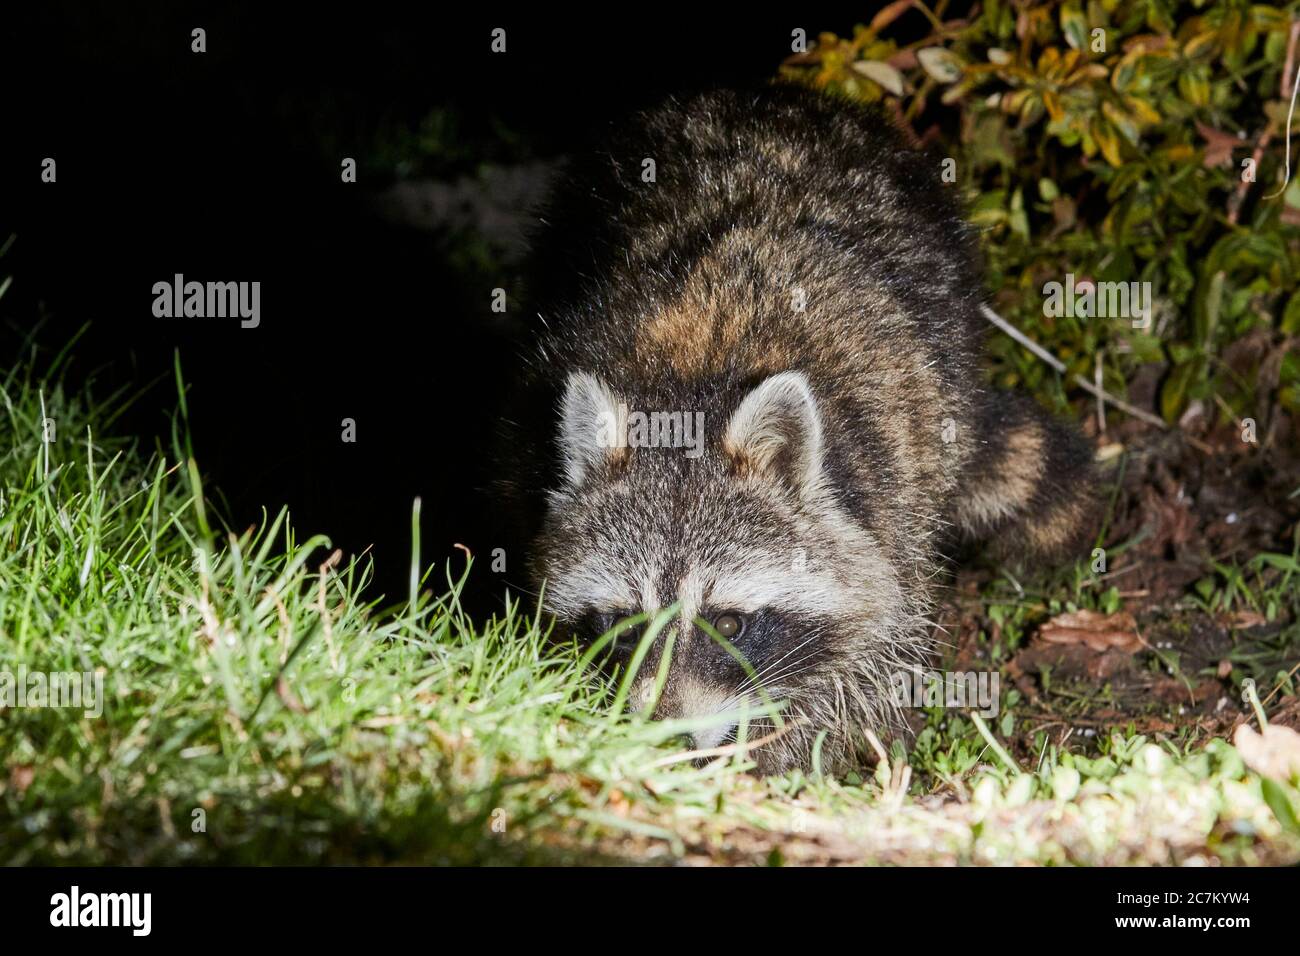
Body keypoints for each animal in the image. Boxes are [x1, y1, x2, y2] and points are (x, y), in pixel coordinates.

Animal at [501, 84, 1097, 774]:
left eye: (729, 624)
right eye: (624, 623)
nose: (669, 740)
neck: (691, 376)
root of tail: (770, 96)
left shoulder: (891, 477)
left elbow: (868, 643)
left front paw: (783, 751)